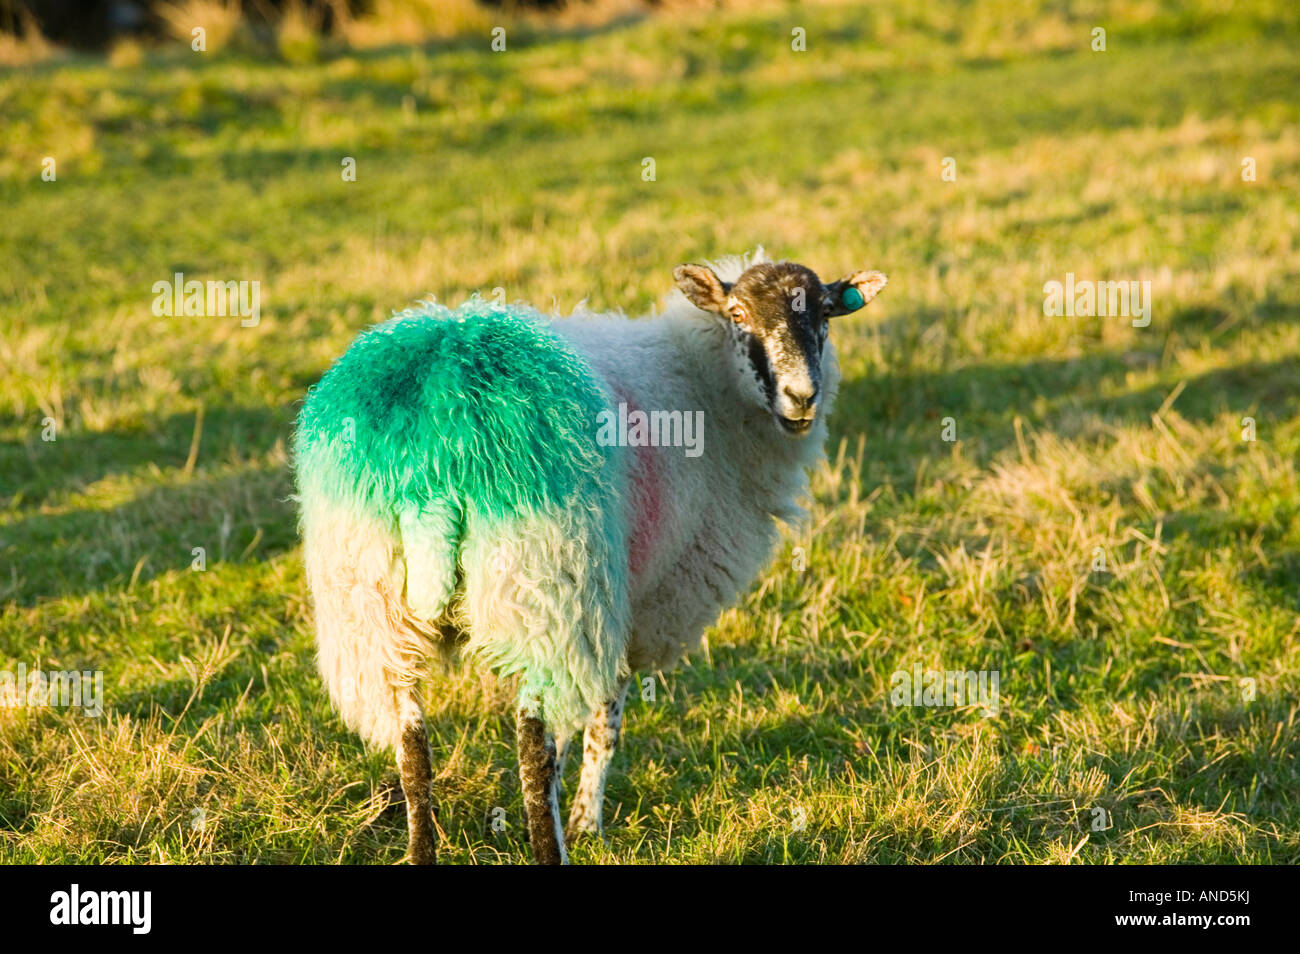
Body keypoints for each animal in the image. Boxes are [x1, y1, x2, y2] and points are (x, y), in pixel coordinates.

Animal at [293, 250, 888, 864]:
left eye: (825, 314)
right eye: (739, 314)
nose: (801, 397)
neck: (703, 383)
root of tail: (436, 441)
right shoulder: (637, 603)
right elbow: (604, 722)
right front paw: (585, 823)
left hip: (369, 602)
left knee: (412, 744)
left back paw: (420, 848)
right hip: (543, 585)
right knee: (530, 745)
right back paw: (551, 844)